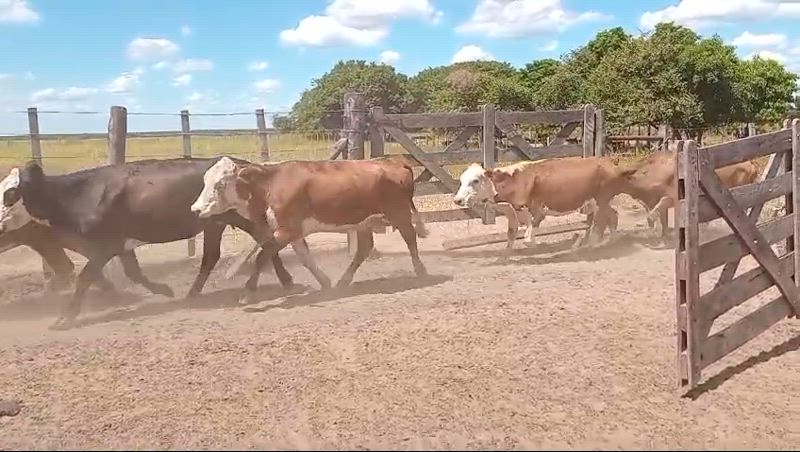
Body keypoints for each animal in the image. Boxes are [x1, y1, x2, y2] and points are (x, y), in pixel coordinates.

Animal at [0, 157, 323, 330]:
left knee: (262, 241)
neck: (81, 194)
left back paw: (283, 281)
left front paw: (64, 318)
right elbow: (133, 272)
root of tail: (246, 165)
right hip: (214, 223)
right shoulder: (120, 245)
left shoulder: (105, 245)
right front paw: (164, 290)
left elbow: (84, 278)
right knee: (217, 254)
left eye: (10, 193)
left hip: (236, 218)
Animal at [189, 156, 429, 303]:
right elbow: (305, 258)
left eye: (220, 184)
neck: (269, 185)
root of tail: (394, 162)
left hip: (399, 213)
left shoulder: (286, 231)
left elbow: (262, 257)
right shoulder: (292, 232)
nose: (195, 209)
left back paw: (421, 272)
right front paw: (325, 282)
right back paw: (343, 281)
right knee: (364, 249)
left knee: (410, 238)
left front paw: (247, 293)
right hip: (364, 223)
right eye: (205, 181)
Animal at [453, 157, 637, 250]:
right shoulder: (513, 212)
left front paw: (537, 244)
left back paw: (591, 243)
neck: (517, 180)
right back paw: (605, 241)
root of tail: (610, 162)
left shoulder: (538, 211)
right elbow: (511, 235)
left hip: (602, 201)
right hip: (597, 202)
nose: (457, 200)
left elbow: (528, 238)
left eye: (475, 180)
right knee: (612, 216)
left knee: (603, 220)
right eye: (461, 181)